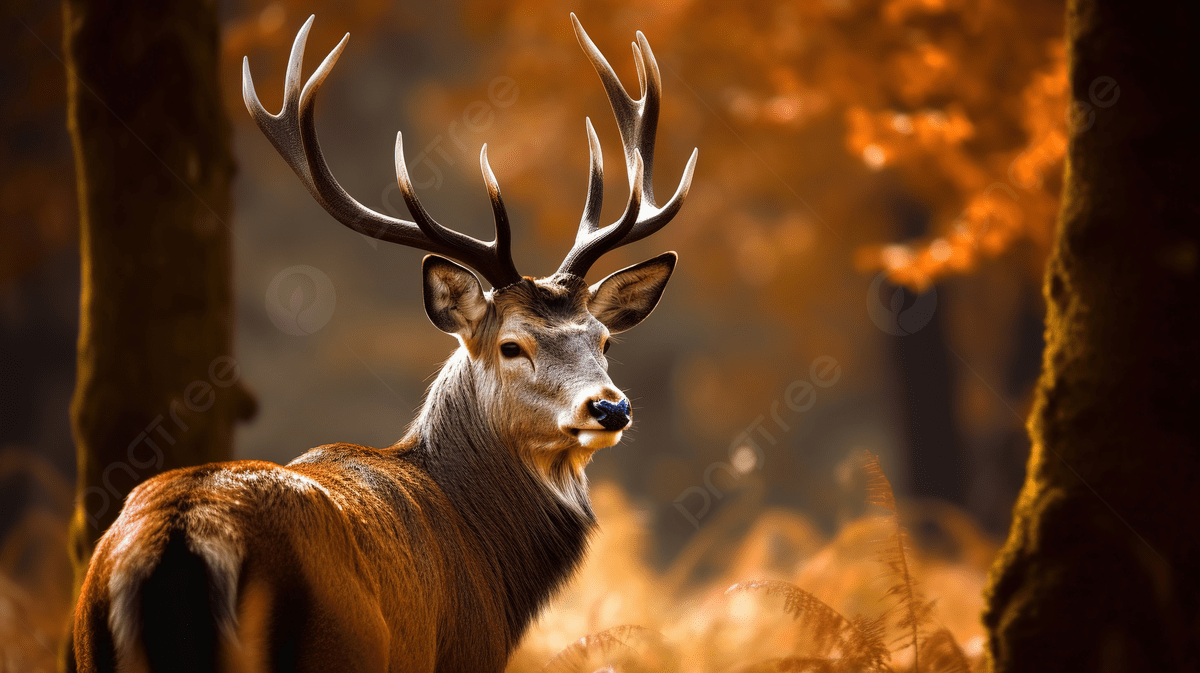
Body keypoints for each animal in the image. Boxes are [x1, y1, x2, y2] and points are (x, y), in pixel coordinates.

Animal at [68, 13, 697, 673]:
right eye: (512, 346)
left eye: (604, 341)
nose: (610, 406)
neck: (484, 558)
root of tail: (186, 533)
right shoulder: (463, 652)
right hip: (335, 645)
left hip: (88, 640)